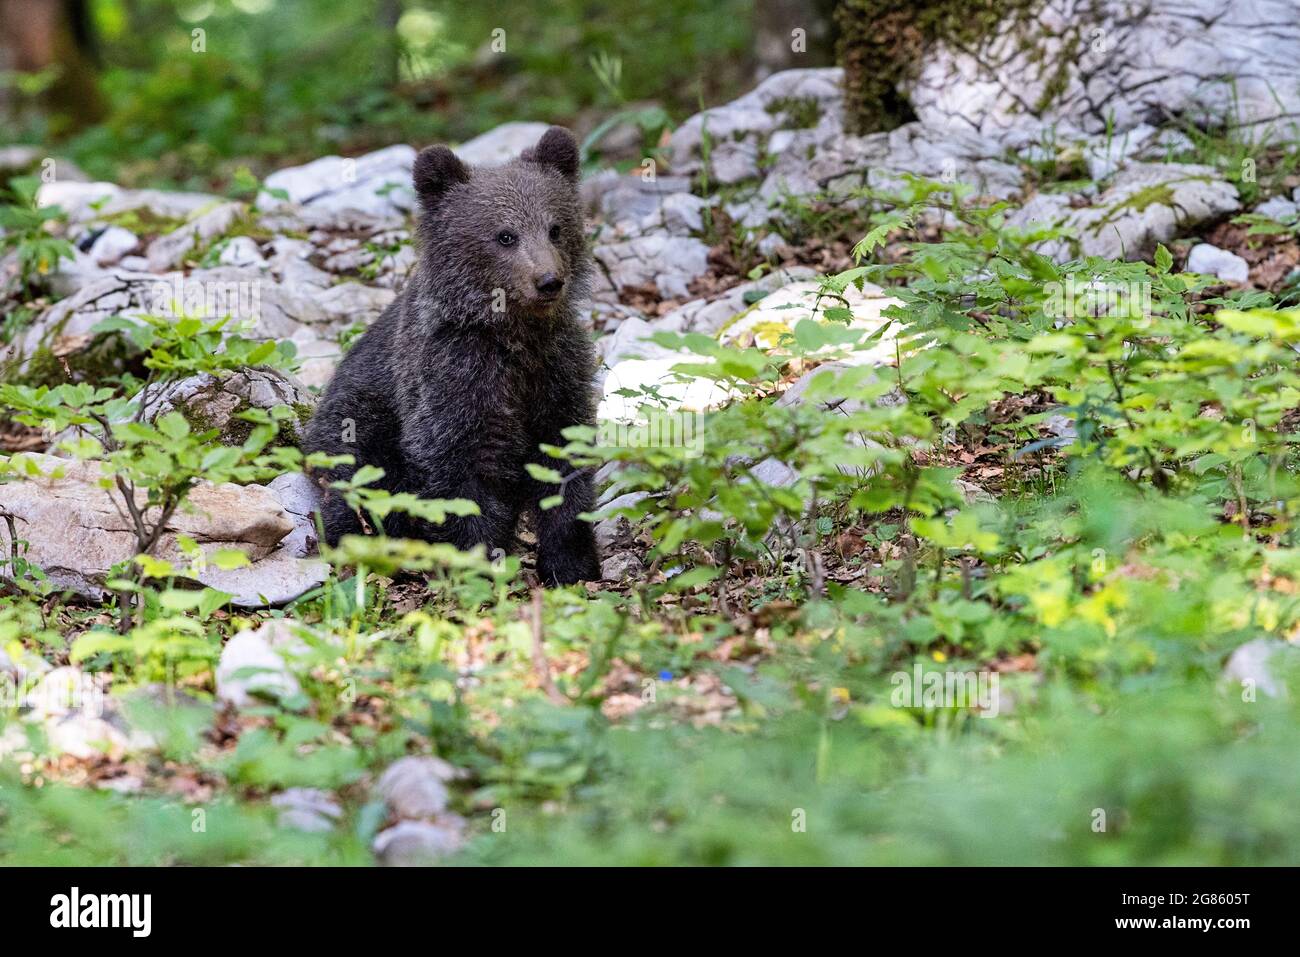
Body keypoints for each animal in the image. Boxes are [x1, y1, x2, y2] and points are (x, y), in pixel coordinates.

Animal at [301, 126, 601, 587]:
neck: (513, 337)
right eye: (505, 235)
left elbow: (564, 459)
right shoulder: (453, 378)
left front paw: (571, 562)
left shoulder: (557, 369)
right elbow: (459, 473)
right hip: (358, 422)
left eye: (555, 227)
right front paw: (479, 561)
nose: (549, 280)